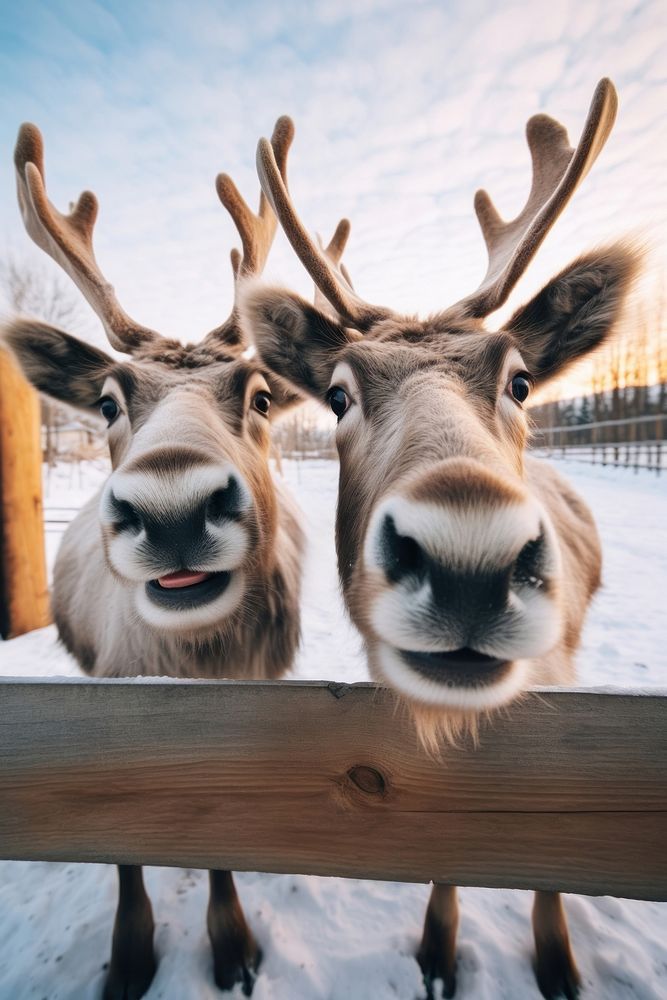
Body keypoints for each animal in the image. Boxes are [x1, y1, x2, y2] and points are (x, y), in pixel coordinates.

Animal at [2, 117, 315, 1000]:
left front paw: (232, 944)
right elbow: (124, 851)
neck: (190, 671)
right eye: (108, 400)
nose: (171, 507)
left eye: (260, 395)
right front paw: (131, 955)